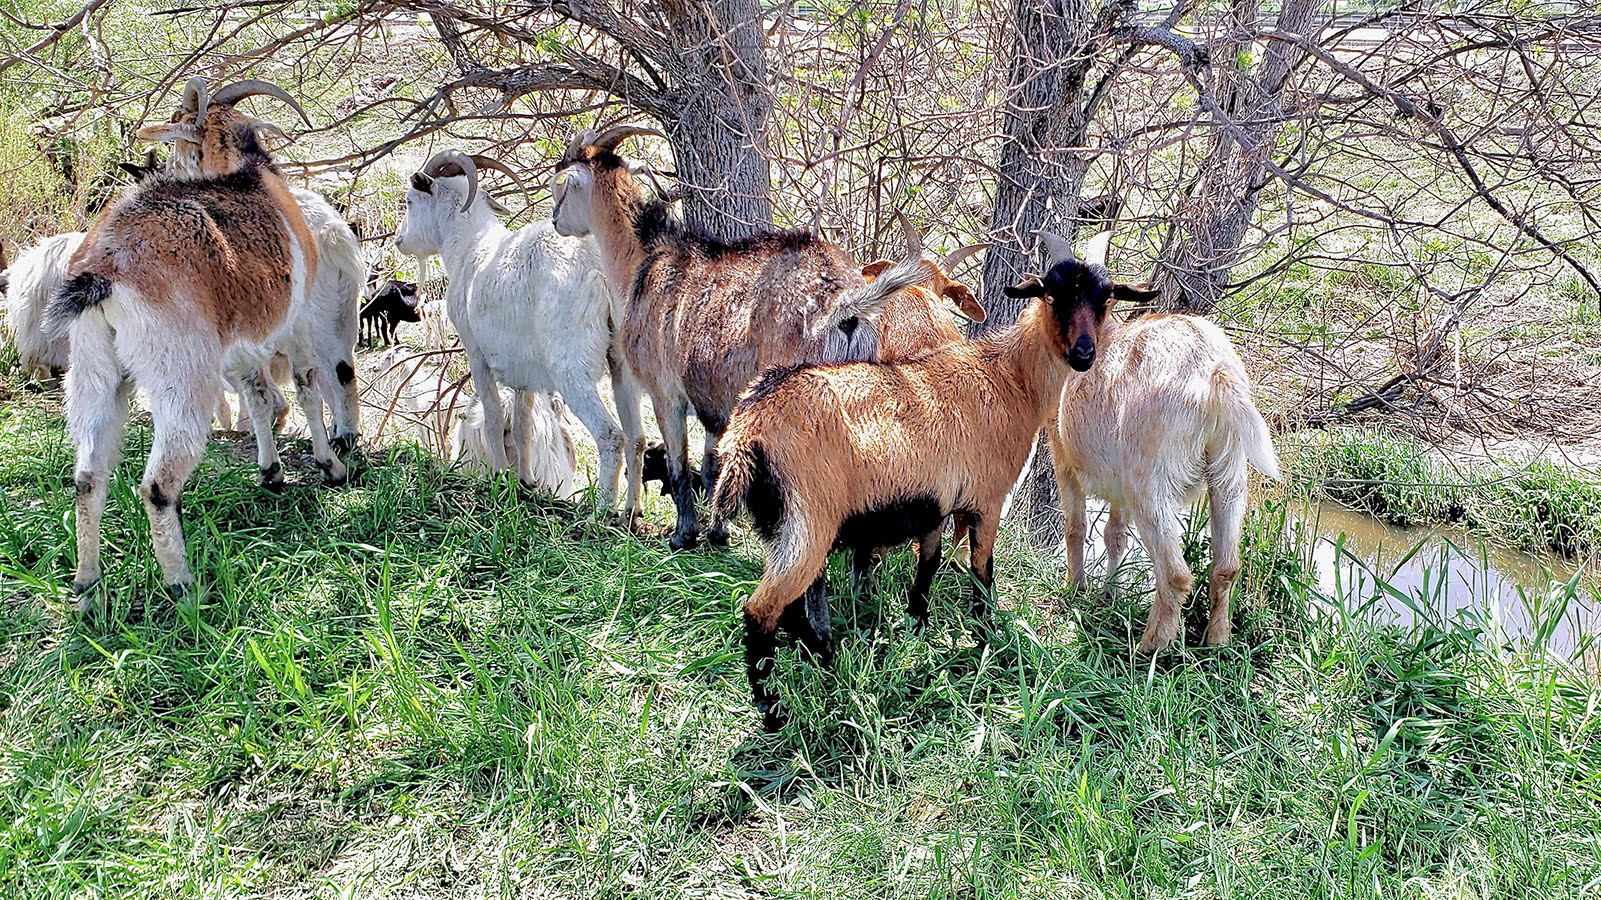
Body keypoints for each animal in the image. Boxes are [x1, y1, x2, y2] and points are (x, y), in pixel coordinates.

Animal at [48, 76, 332, 607]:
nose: (165, 166)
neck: (253, 178)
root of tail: (104, 272)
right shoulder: (297, 317)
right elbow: (305, 384)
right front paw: (330, 467)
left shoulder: (240, 347)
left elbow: (257, 398)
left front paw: (271, 473)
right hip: (181, 373)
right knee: (160, 484)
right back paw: (182, 585)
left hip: (94, 369)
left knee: (88, 476)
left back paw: (88, 586)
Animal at [394, 150, 645, 516]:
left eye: (410, 201)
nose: (399, 241)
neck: (470, 247)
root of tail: (598, 269)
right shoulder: (524, 372)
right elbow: (523, 425)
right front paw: (526, 482)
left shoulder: (477, 354)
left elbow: (494, 415)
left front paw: (499, 477)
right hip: (622, 363)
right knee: (638, 438)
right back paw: (632, 512)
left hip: (572, 365)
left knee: (611, 435)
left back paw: (602, 514)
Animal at [552, 126, 931, 549]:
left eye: (561, 185)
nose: (554, 219)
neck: (645, 260)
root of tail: (843, 304)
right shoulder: (713, 402)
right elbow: (712, 464)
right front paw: (719, 532)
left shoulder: (665, 390)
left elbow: (679, 465)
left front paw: (684, 535)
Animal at [710, 230, 1157, 728]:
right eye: (1052, 294)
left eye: (1105, 299)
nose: (1083, 354)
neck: (1008, 379)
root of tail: (747, 429)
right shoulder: (986, 499)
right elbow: (981, 571)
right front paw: (985, 636)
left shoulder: (935, 503)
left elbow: (929, 563)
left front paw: (917, 625)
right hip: (808, 524)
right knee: (761, 610)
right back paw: (773, 711)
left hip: (783, 528)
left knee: (797, 604)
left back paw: (823, 658)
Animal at [1050, 313, 1279, 654]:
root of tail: (1213, 372)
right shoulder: (1119, 486)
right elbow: (1114, 535)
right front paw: (1110, 594)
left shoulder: (1064, 459)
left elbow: (1076, 527)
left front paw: (1075, 589)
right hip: (1229, 472)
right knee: (1226, 568)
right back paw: (1217, 643)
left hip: (1148, 482)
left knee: (1175, 574)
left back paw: (1150, 646)